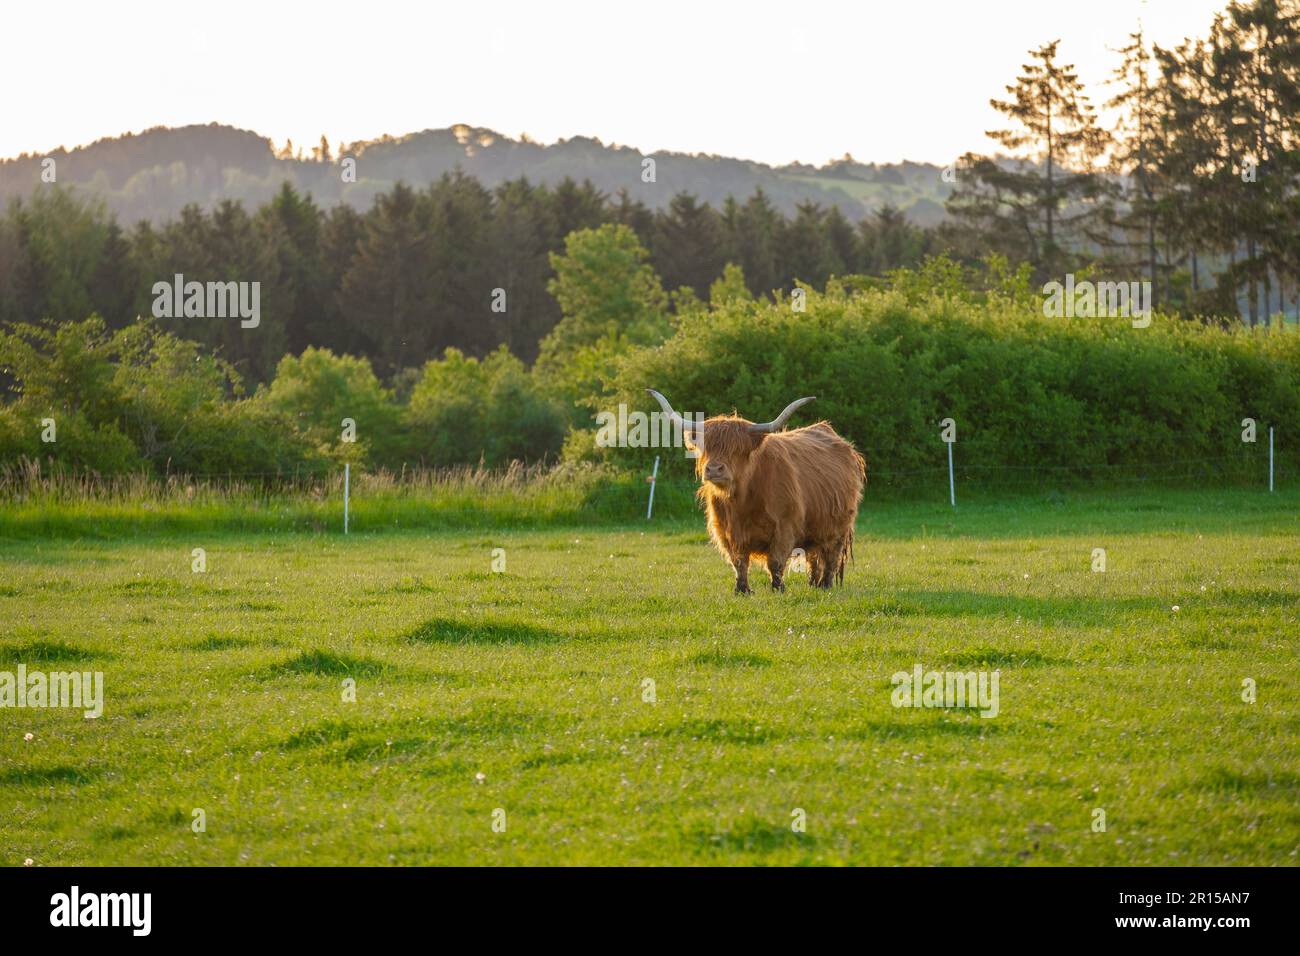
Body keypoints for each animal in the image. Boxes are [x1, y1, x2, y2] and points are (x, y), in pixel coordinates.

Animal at [647, 389, 866, 595]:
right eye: (706, 447)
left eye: (737, 449)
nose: (714, 469)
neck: (742, 502)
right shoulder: (726, 531)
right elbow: (739, 562)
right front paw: (742, 590)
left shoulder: (784, 527)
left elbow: (775, 562)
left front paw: (778, 589)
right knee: (814, 556)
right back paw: (813, 584)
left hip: (839, 527)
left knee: (830, 557)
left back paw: (825, 585)